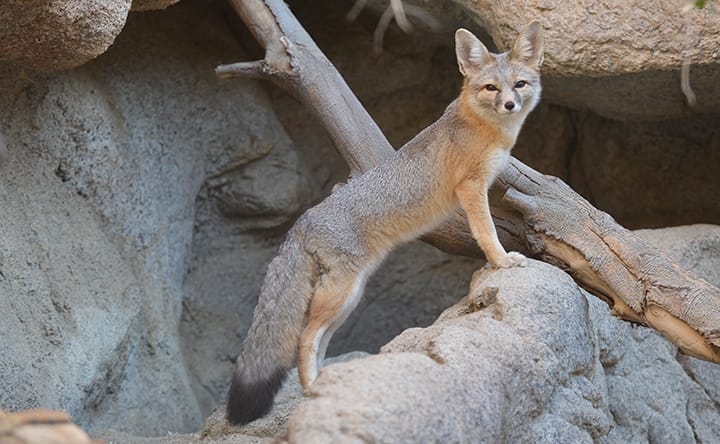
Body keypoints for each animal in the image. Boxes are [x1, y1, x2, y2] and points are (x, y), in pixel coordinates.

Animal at [226, 22, 544, 425]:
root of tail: (302, 221)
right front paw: (501, 261)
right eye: (491, 88)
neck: (485, 129)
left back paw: (326, 385)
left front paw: (494, 263)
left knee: (318, 340)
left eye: (519, 84)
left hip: (349, 297)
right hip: (341, 294)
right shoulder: (471, 188)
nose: (509, 104)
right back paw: (312, 390)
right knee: (303, 338)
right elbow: (486, 231)